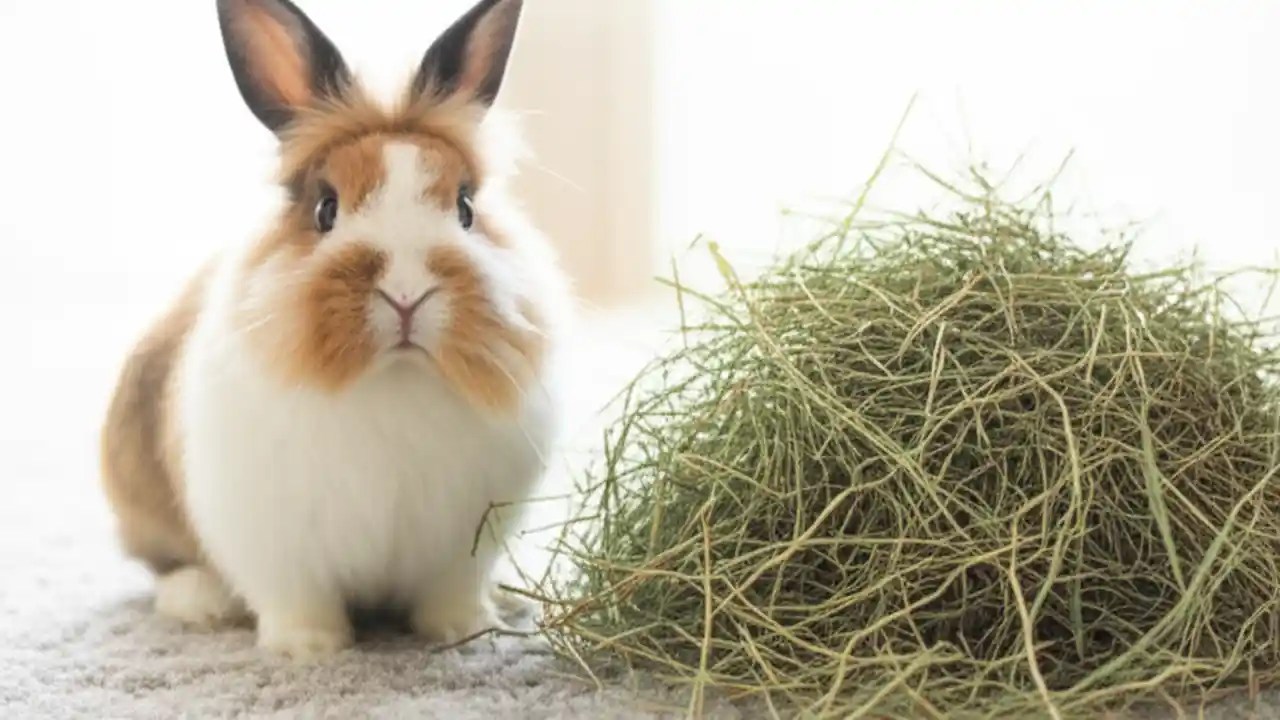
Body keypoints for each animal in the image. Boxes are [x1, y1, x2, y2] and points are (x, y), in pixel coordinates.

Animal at [98, 0, 574, 661]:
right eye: (326, 209)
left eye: (465, 208)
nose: (407, 294)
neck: (395, 378)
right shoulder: (275, 546)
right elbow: (296, 599)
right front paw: (309, 649)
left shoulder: (462, 545)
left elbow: (449, 593)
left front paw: (463, 631)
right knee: (165, 563)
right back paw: (200, 601)